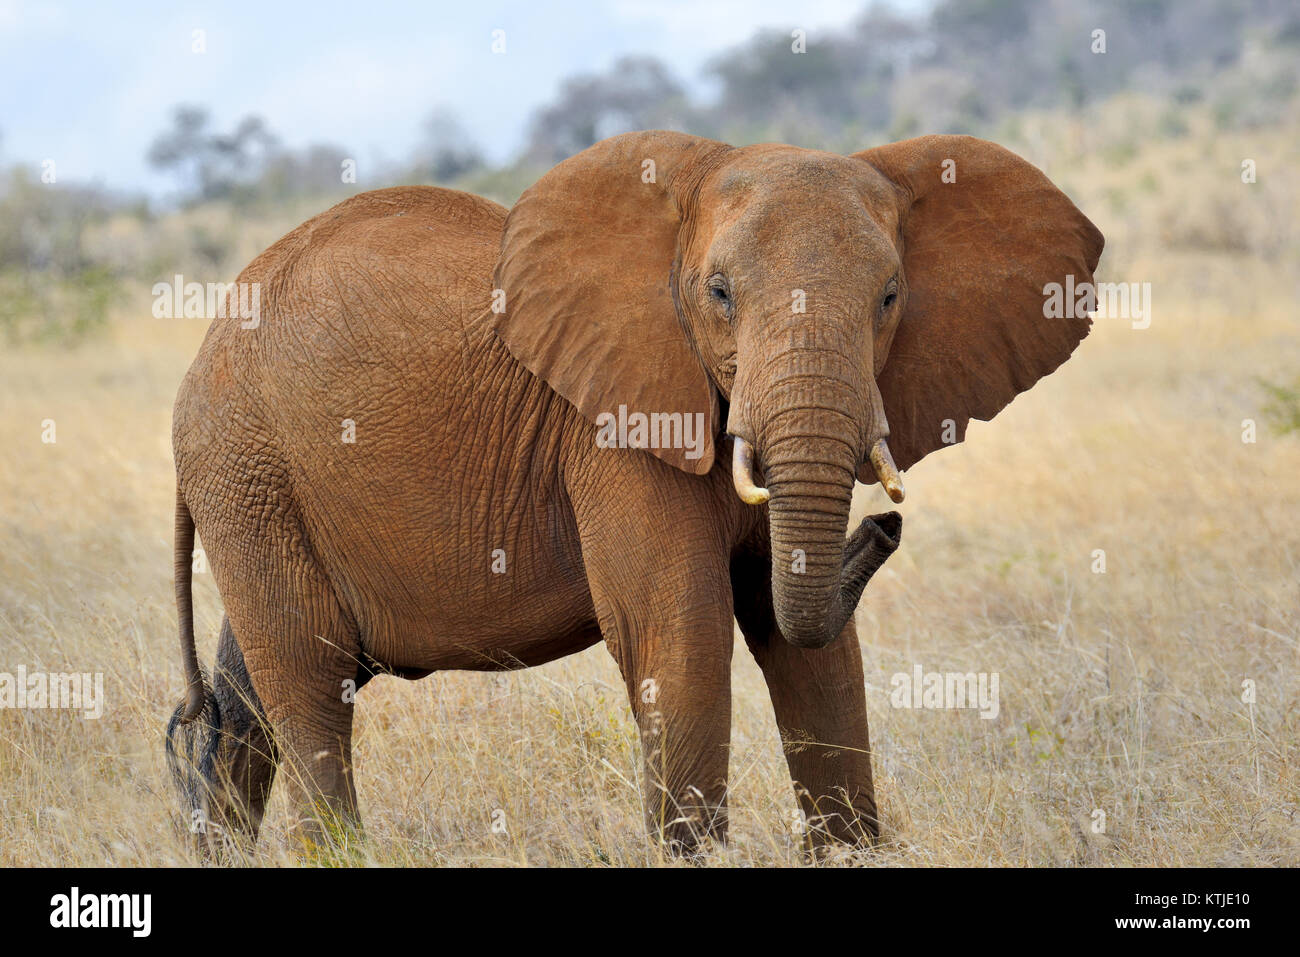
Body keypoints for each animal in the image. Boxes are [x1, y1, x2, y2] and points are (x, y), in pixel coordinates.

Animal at [165, 131, 1102, 857]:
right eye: (719, 294)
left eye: (890, 297)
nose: (885, 527)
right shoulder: (610, 430)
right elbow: (679, 631)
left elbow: (810, 648)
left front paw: (850, 851)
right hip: (245, 467)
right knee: (309, 680)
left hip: (255, 486)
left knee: (247, 698)